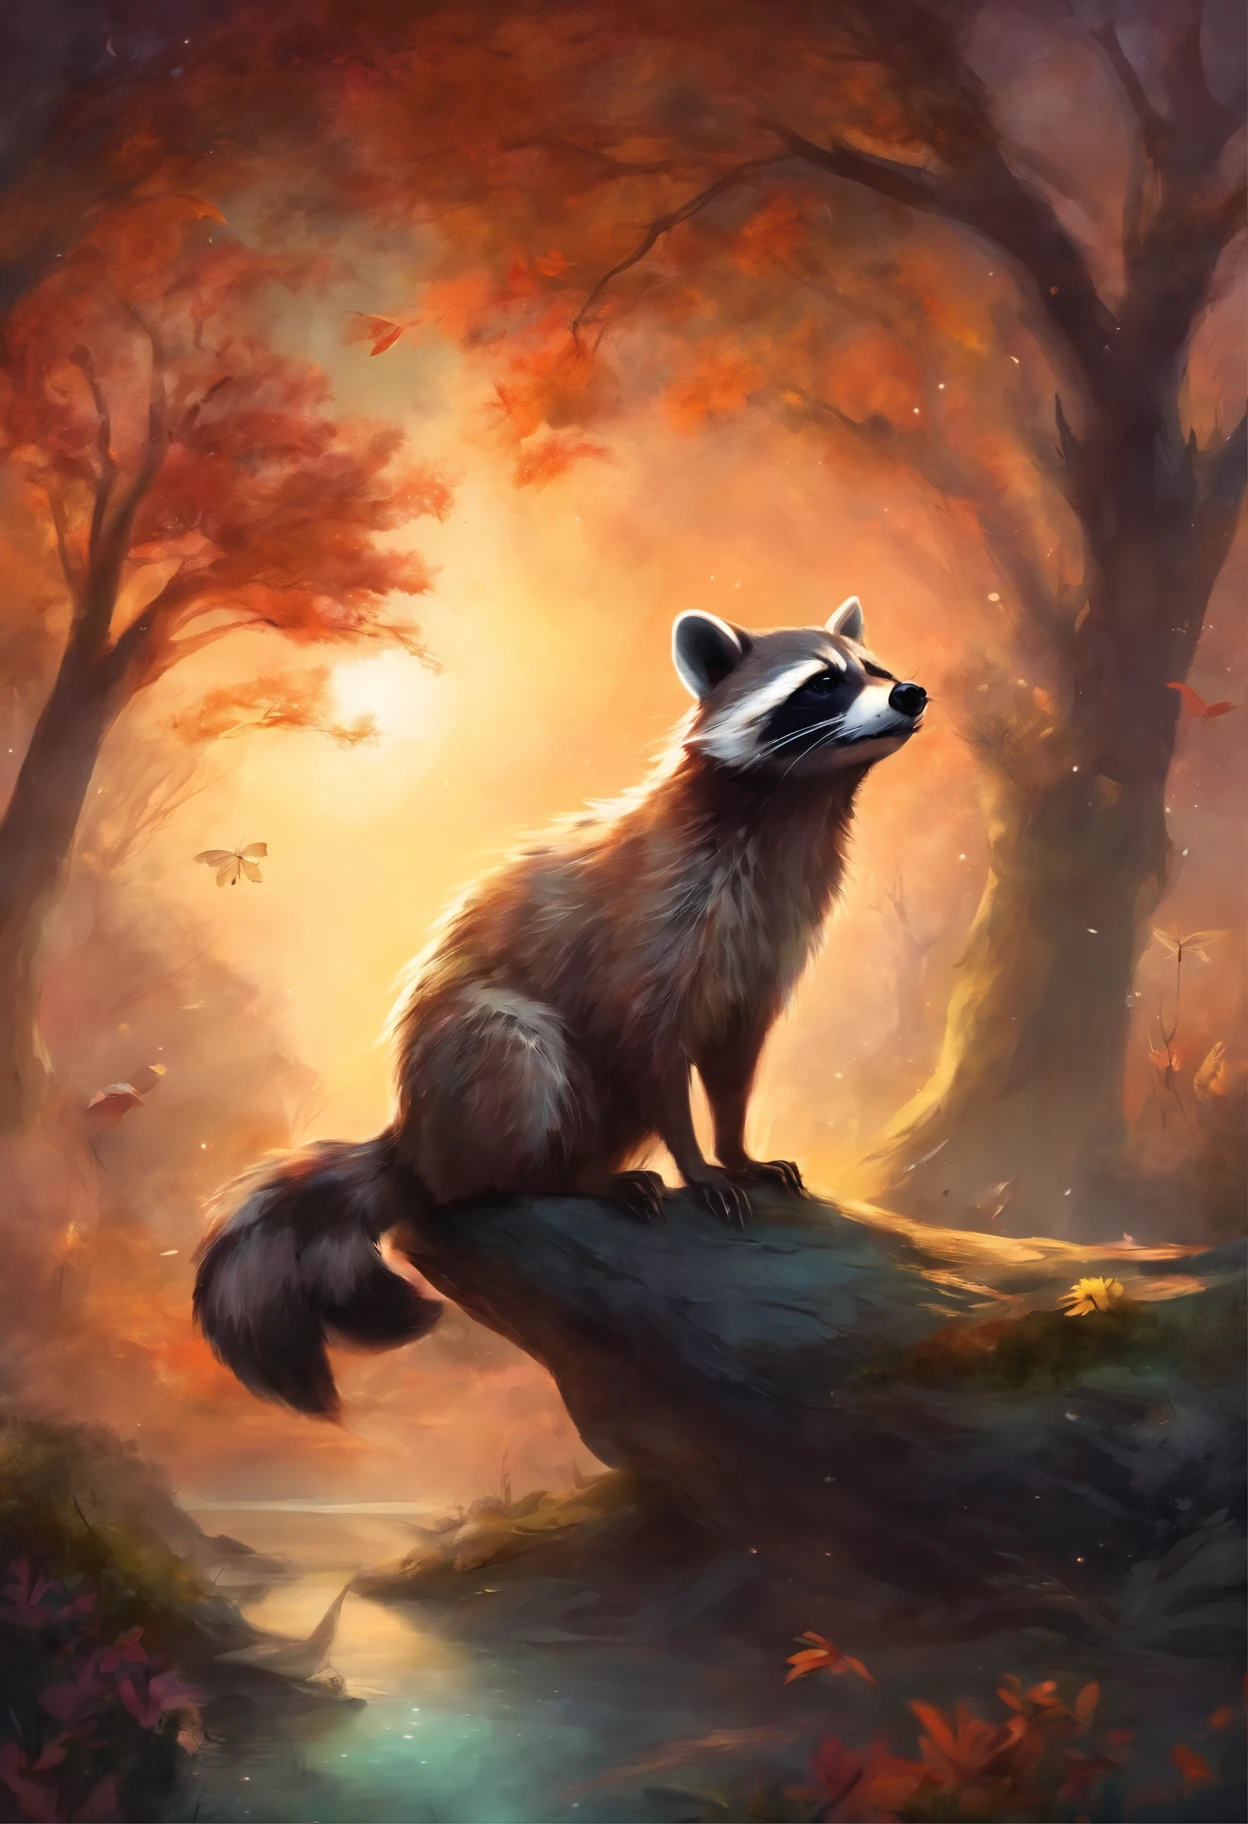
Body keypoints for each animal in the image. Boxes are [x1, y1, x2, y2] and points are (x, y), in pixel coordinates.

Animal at [194, 597, 926, 1413]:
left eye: (877, 669)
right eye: (822, 683)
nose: (911, 694)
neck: (795, 803)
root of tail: (415, 1138)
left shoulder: (764, 953)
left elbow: (735, 1061)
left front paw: (737, 1149)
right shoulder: (654, 922)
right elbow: (652, 1048)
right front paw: (697, 1164)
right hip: (478, 1057)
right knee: (515, 1062)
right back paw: (565, 1177)